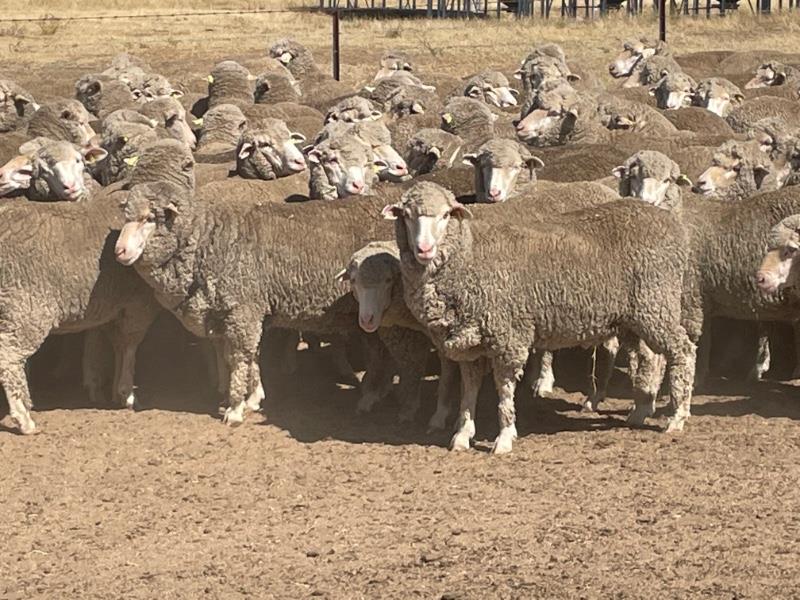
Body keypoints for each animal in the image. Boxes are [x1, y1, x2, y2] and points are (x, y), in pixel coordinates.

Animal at [384, 182, 696, 453]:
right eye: (406, 216)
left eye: (446, 215)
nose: (424, 249)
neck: (470, 255)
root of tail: (669, 222)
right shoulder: (470, 343)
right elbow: (468, 393)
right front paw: (461, 435)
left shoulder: (507, 337)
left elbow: (504, 394)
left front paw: (504, 438)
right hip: (637, 315)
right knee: (651, 356)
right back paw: (642, 408)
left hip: (655, 302)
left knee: (683, 351)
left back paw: (677, 416)